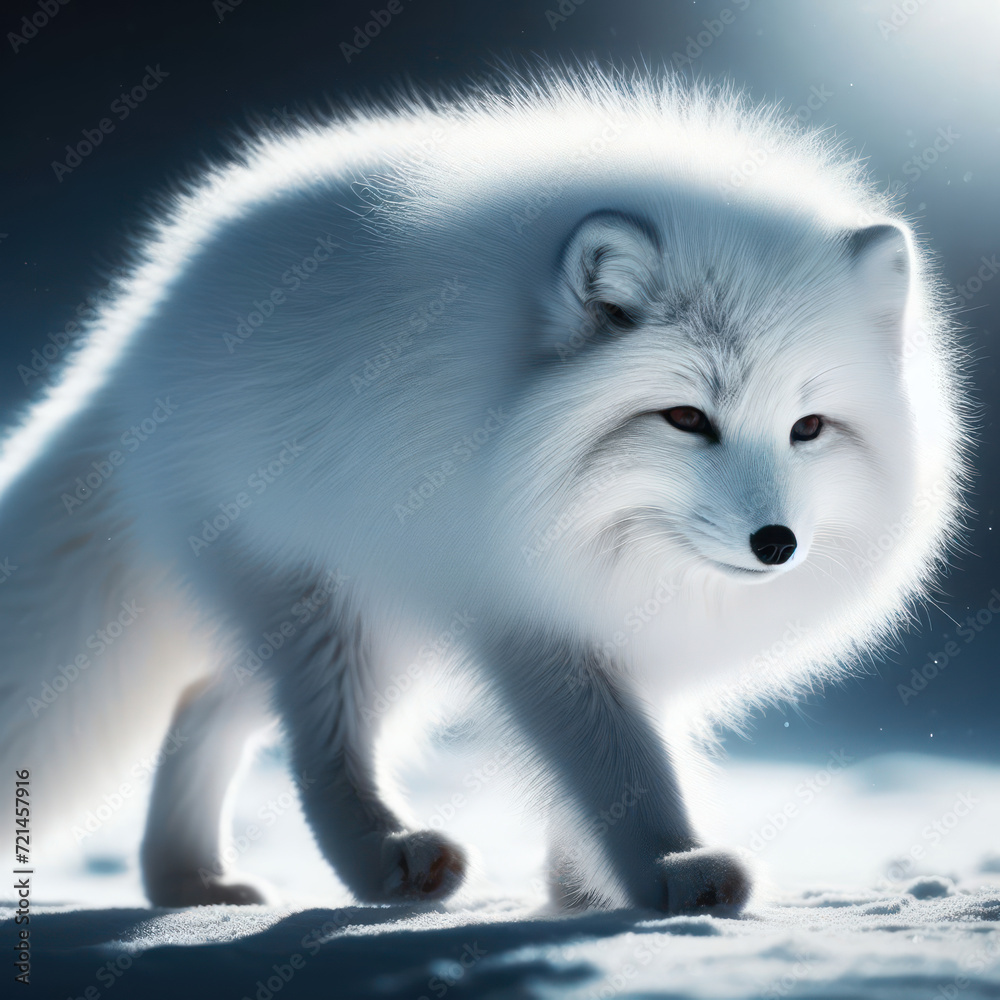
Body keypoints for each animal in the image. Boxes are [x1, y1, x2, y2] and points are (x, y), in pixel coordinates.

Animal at [0, 67, 969, 914]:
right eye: (686, 417)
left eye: (809, 429)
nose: (777, 544)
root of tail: (140, 324)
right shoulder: (528, 617)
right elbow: (615, 761)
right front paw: (672, 870)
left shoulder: (625, 632)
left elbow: (615, 765)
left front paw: (588, 895)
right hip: (340, 607)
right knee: (319, 747)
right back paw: (382, 860)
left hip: (375, 630)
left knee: (205, 708)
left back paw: (188, 884)